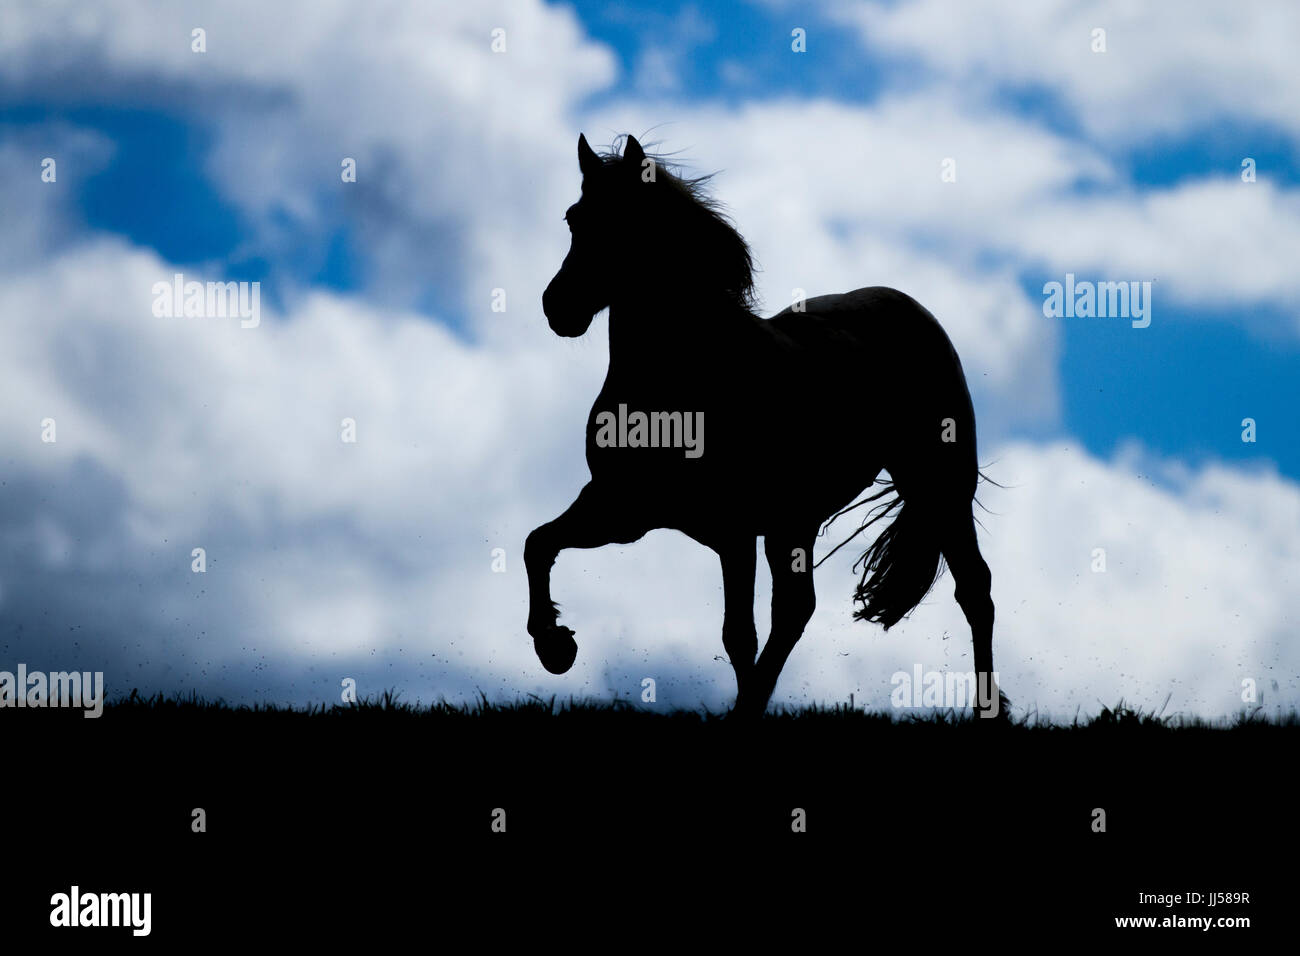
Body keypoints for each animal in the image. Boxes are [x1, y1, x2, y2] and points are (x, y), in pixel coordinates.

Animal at [526, 133, 1002, 719]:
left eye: (627, 223)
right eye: (575, 219)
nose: (557, 307)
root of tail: (910, 308)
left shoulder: (731, 529)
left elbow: (739, 633)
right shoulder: (621, 508)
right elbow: (538, 544)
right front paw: (555, 646)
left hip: (938, 488)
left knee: (973, 590)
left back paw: (989, 713)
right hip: (793, 523)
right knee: (797, 609)